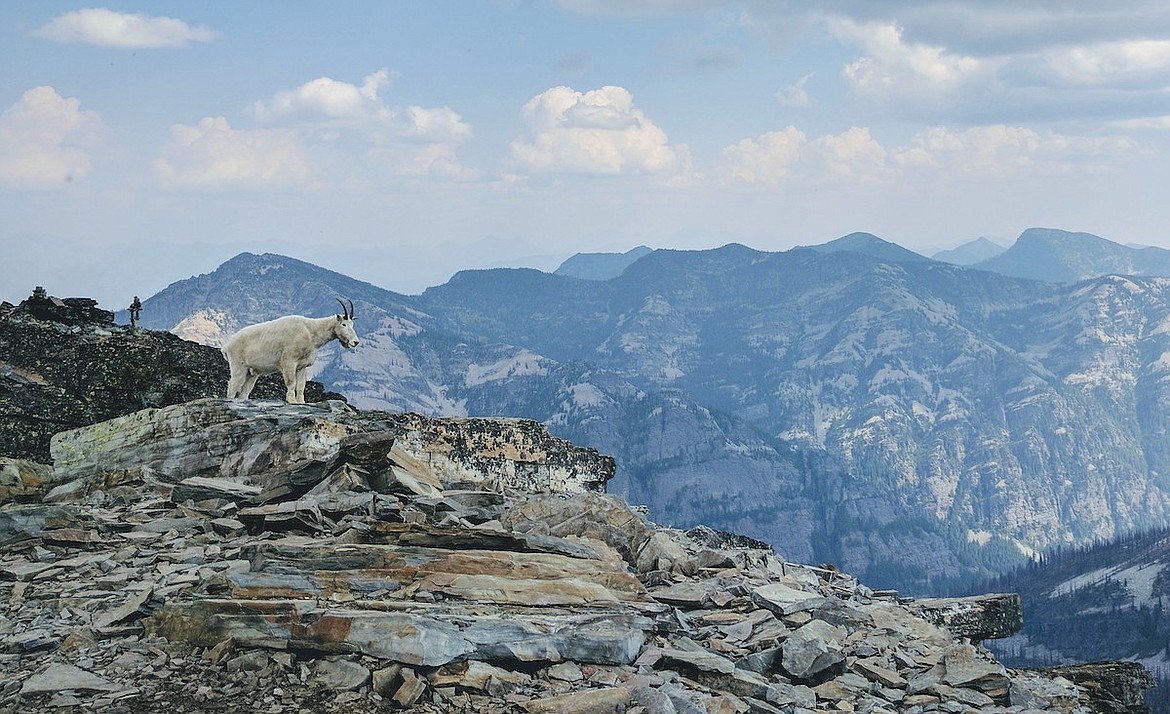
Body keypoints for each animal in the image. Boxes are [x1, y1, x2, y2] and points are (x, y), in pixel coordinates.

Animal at [222, 299, 359, 404]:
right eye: (344, 324)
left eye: (352, 325)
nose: (355, 342)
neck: (310, 331)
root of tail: (227, 346)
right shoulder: (289, 361)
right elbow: (291, 382)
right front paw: (291, 401)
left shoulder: (302, 366)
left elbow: (301, 386)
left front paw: (301, 402)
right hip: (238, 366)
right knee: (233, 385)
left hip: (251, 372)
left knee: (245, 391)